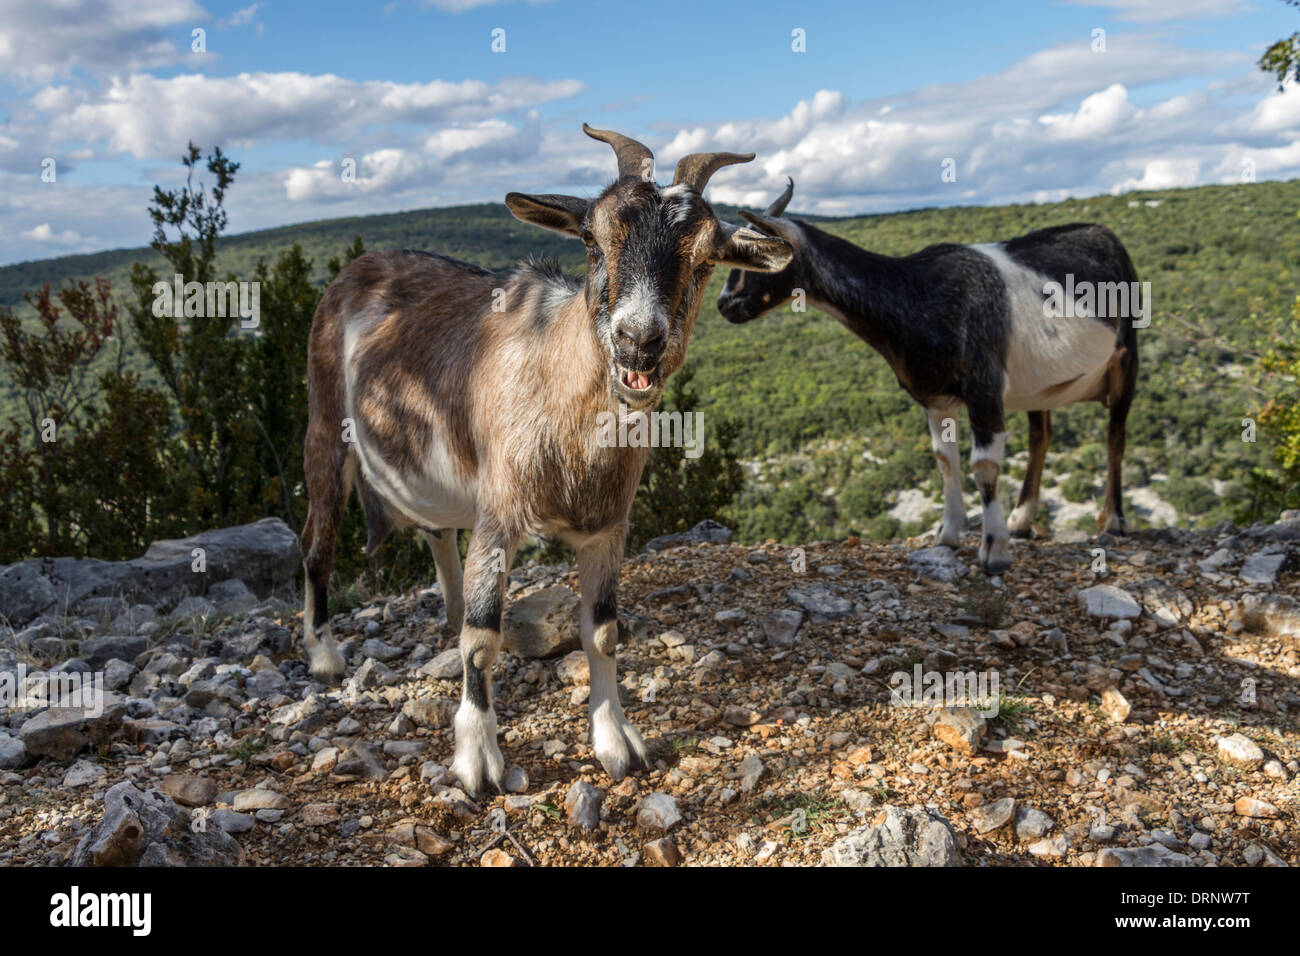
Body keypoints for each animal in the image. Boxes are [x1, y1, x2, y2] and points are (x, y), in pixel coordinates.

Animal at [300, 125, 792, 795]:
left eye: (707, 257)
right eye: (591, 239)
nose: (639, 341)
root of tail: (357, 268)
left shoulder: (608, 526)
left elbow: (603, 632)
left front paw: (617, 742)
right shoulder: (501, 513)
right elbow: (483, 639)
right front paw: (478, 759)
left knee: (437, 534)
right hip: (327, 426)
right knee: (316, 540)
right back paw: (324, 654)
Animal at [716, 179, 1140, 573]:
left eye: (759, 254)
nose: (724, 304)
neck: (916, 295)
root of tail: (1105, 234)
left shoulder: (984, 387)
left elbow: (983, 466)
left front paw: (994, 550)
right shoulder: (934, 398)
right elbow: (944, 460)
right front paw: (947, 535)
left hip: (1126, 355)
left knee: (1115, 434)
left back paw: (1114, 521)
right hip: (1040, 383)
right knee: (1042, 434)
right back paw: (1022, 520)